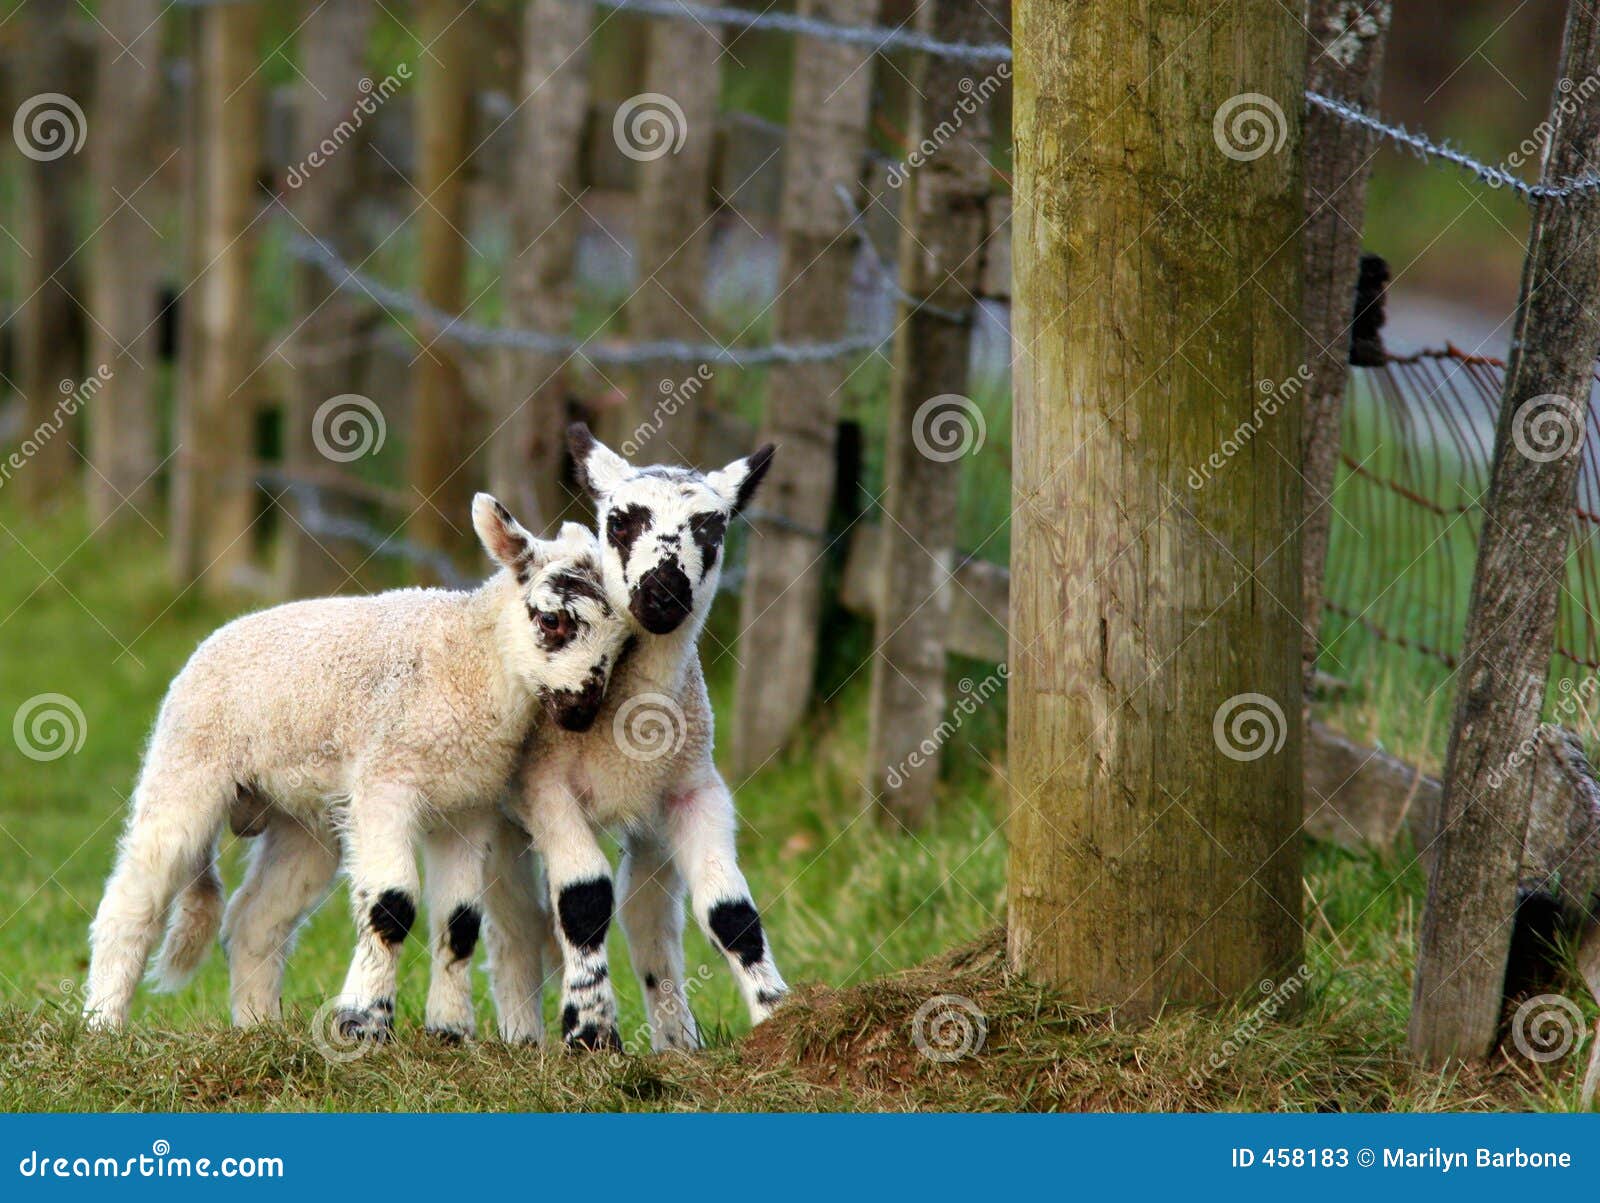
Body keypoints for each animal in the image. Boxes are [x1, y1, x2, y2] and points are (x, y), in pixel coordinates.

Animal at [82, 496, 631, 1037]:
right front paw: (365, 1024)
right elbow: (393, 905)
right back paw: (103, 1024)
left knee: (254, 920)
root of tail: (213, 640)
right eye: (552, 621)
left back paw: (260, 1029)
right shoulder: (384, 785)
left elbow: (459, 922)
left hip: (303, 819)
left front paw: (449, 1031)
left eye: (624, 644)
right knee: (133, 899)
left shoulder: (468, 805)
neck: (471, 664)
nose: (583, 710)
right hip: (188, 763)